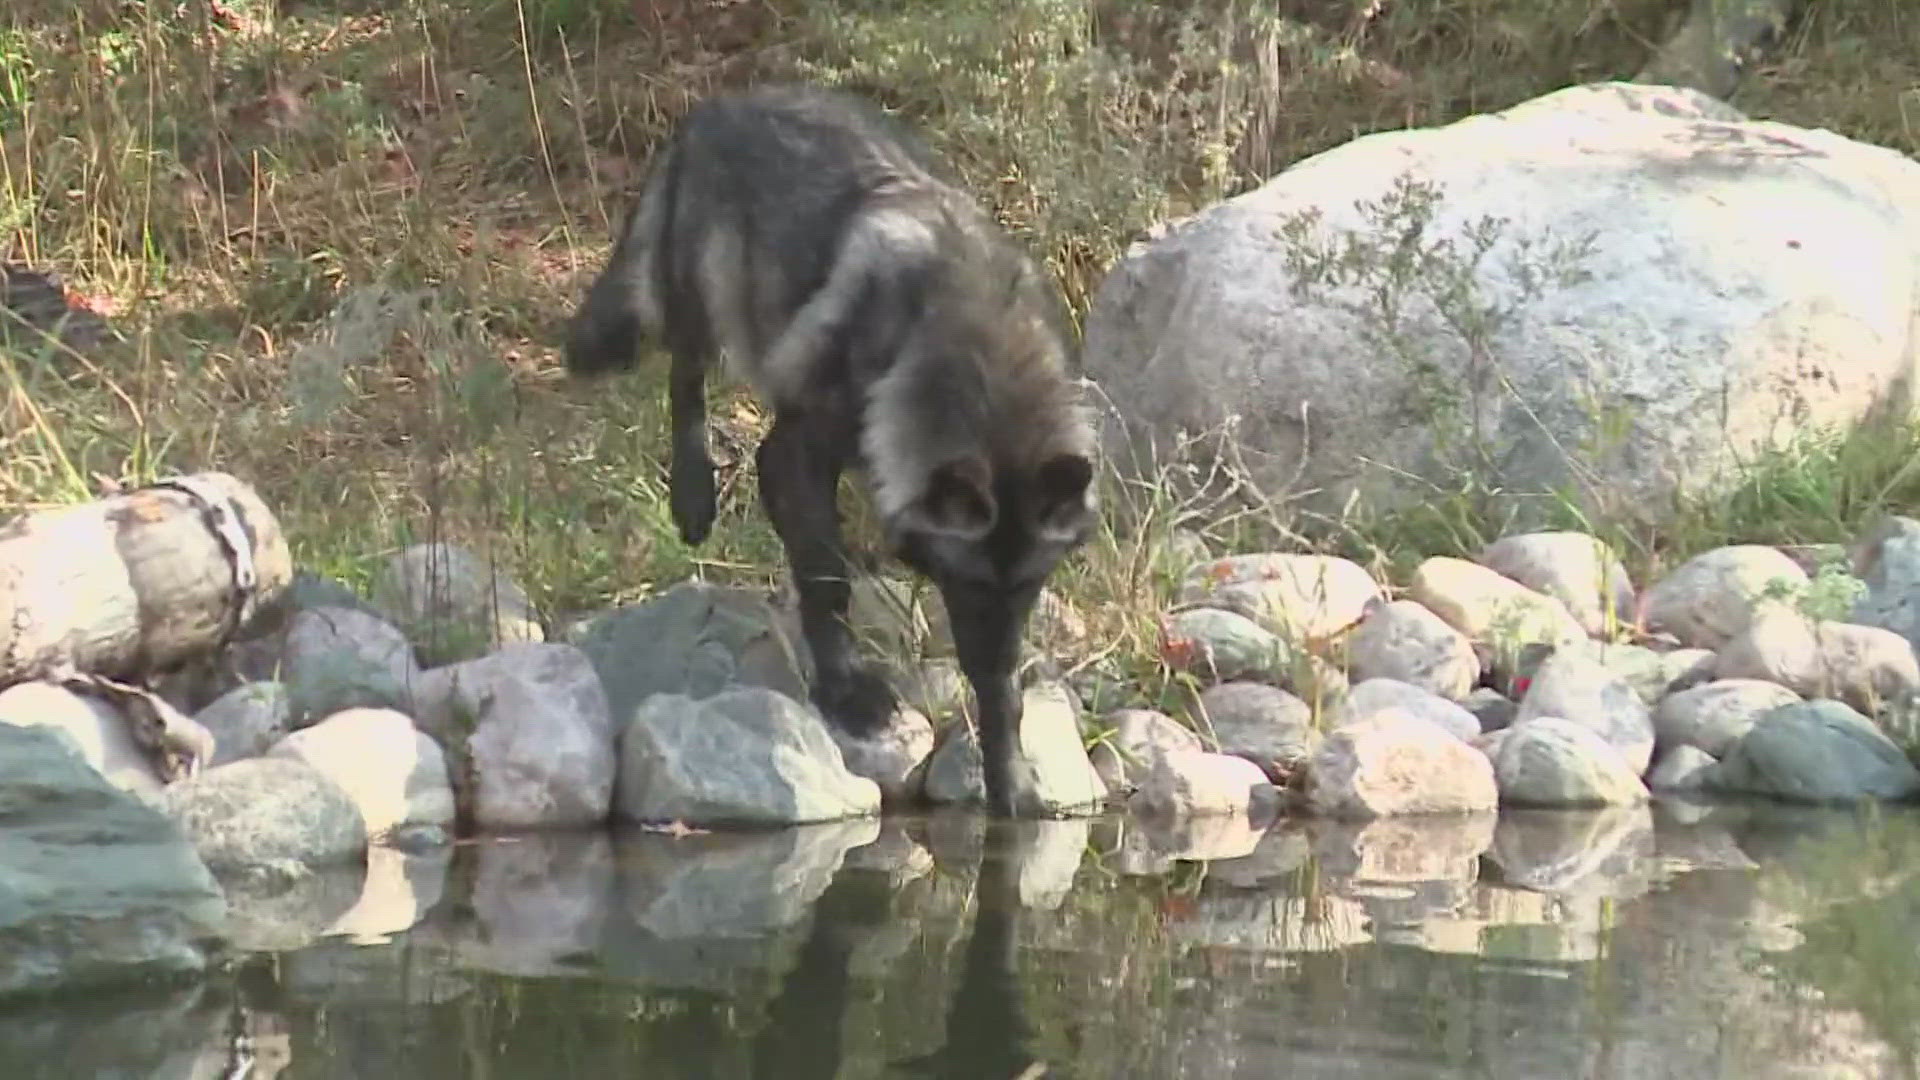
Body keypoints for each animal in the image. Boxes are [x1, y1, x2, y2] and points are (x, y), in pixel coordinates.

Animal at [562, 84, 1099, 818]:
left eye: (1028, 585)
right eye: (968, 583)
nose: (991, 671)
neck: (975, 354)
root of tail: (723, 104)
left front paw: (1008, 774)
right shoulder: (796, 453)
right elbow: (826, 576)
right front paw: (846, 691)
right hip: (708, 297)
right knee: (684, 379)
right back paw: (693, 492)